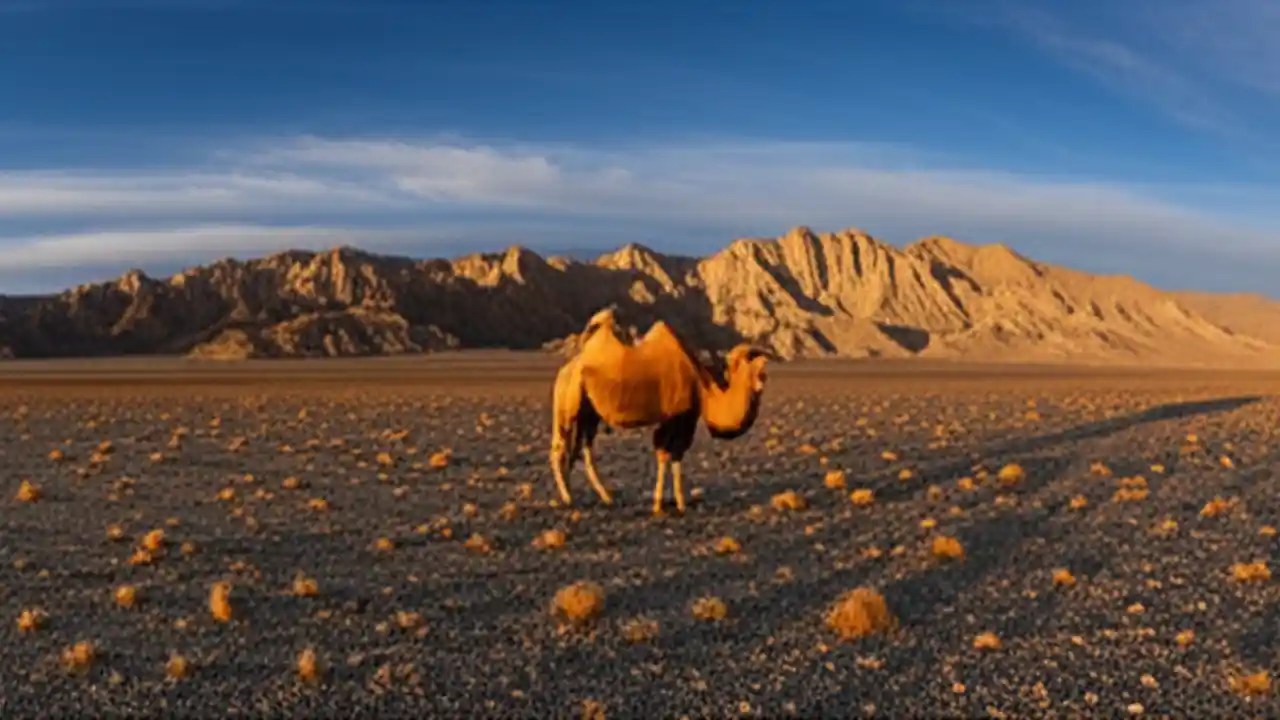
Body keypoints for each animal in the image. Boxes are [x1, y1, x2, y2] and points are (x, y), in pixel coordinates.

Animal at [549, 308, 770, 515]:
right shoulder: (678, 417)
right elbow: (666, 453)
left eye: (762, 371)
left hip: (589, 412)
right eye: (757, 369)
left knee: (583, 448)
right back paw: (568, 497)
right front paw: (663, 505)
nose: (762, 383)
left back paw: (605, 497)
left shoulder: (681, 420)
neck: (701, 385)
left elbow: (674, 455)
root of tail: (565, 370)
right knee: (560, 447)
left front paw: (676, 503)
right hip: (568, 402)